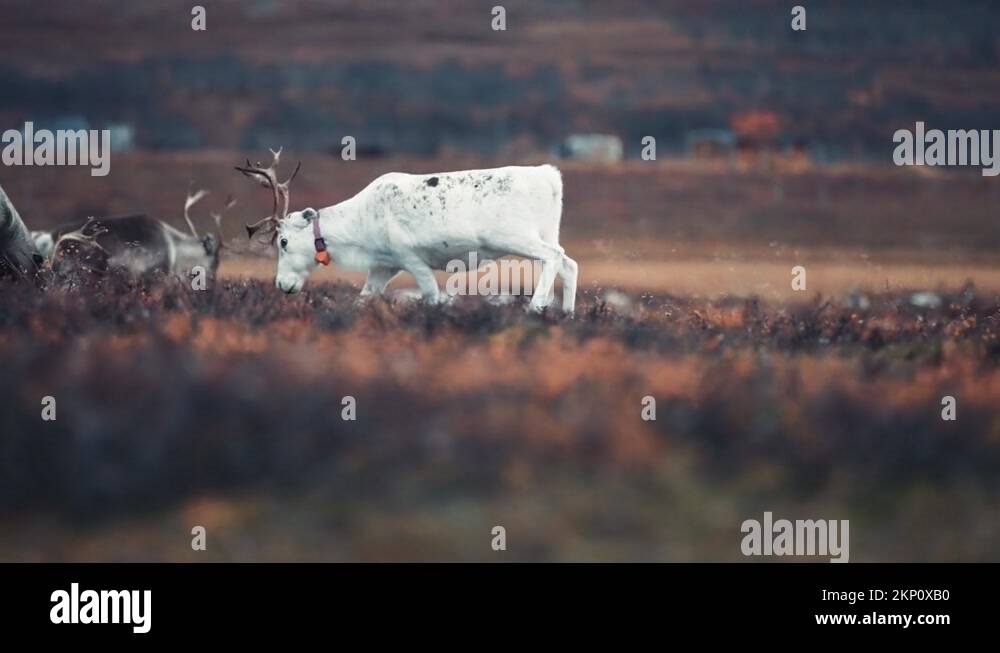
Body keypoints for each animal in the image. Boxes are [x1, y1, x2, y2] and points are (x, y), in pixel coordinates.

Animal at [236, 149, 578, 312]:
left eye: (283, 241)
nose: (282, 285)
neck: (357, 227)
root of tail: (550, 176)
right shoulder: (384, 266)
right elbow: (364, 299)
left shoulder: (411, 258)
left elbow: (432, 296)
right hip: (547, 230)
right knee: (569, 264)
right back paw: (567, 315)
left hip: (514, 236)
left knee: (554, 256)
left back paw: (535, 307)